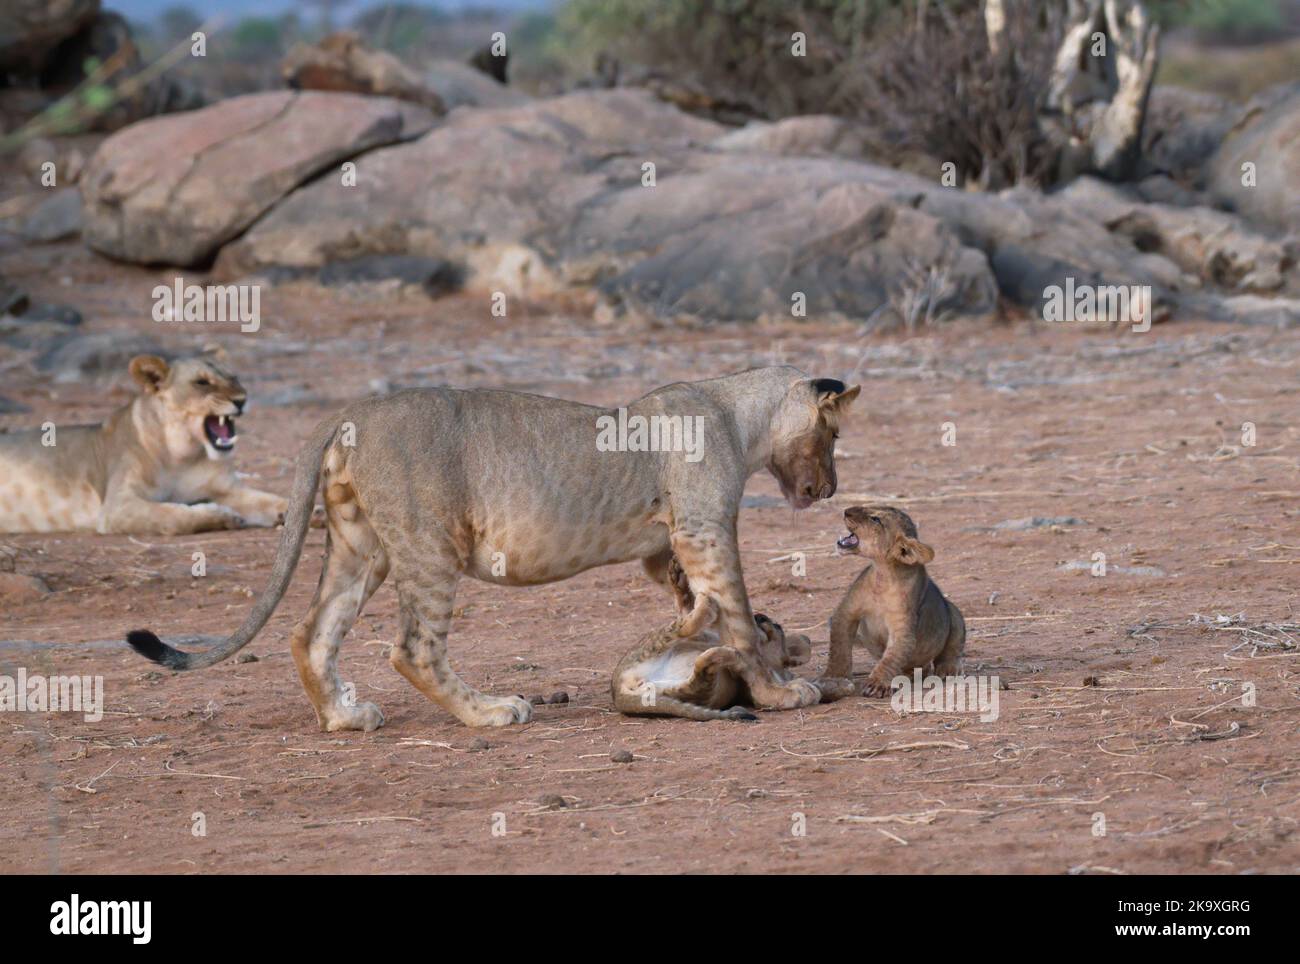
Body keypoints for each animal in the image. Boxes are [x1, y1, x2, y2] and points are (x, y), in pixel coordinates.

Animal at [0, 351, 287, 535]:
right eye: (202, 382)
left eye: (234, 378)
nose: (242, 399)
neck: (183, 452)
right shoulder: (117, 506)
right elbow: (173, 517)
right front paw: (223, 516)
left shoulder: (227, 489)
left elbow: (269, 500)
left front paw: (293, 511)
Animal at [127, 366, 860, 730]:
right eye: (833, 436)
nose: (830, 487)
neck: (739, 414)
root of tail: (347, 415)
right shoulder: (706, 529)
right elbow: (738, 616)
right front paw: (778, 692)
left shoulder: (670, 545)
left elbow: (696, 599)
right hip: (428, 545)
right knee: (413, 648)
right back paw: (490, 712)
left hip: (362, 545)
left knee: (311, 632)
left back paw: (343, 717)